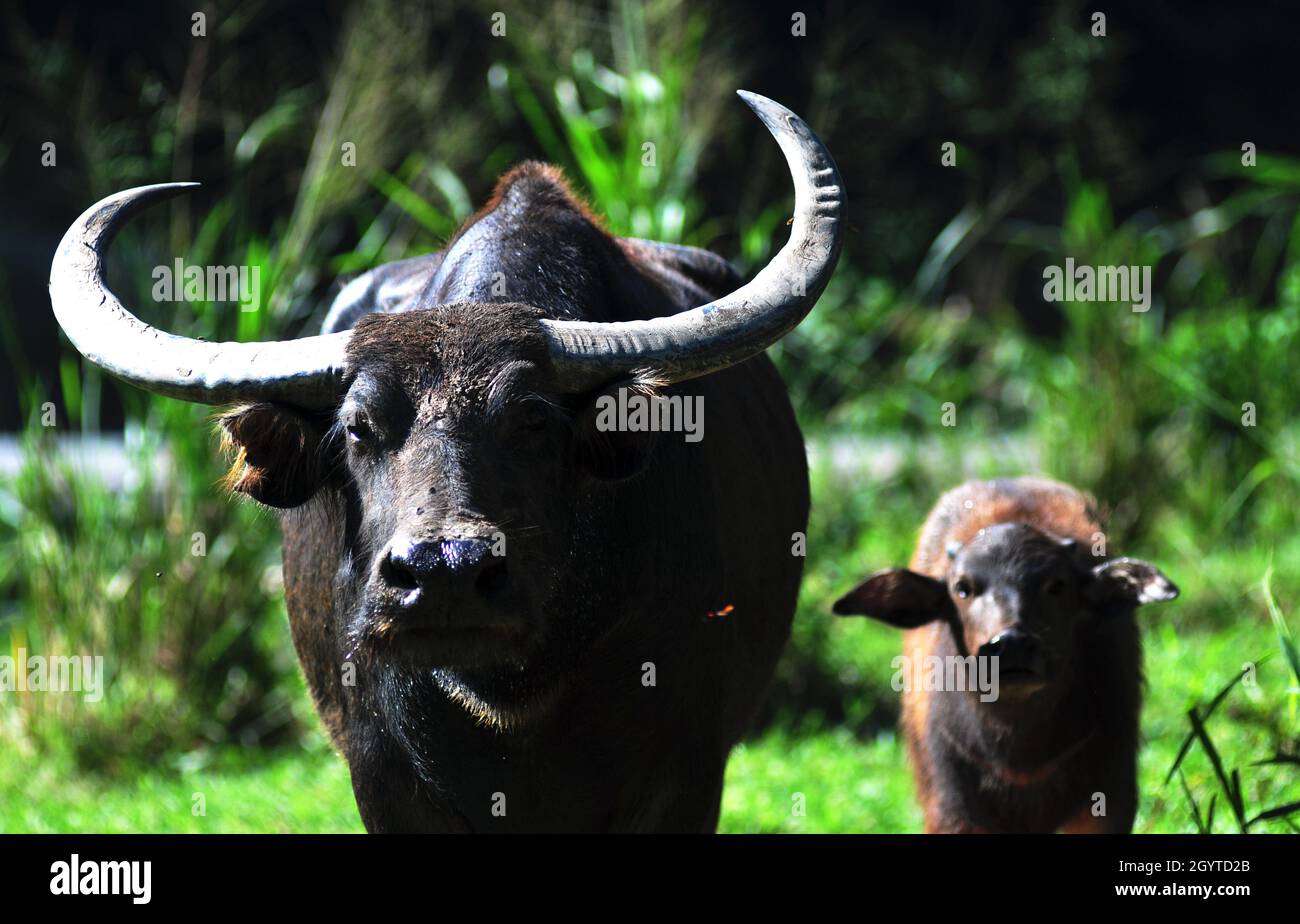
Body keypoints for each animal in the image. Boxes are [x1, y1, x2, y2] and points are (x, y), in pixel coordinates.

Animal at [49, 92, 844, 832]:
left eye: (533, 419)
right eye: (358, 427)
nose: (445, 573)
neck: (510, 692)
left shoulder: (686, 771)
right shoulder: (383, 781)